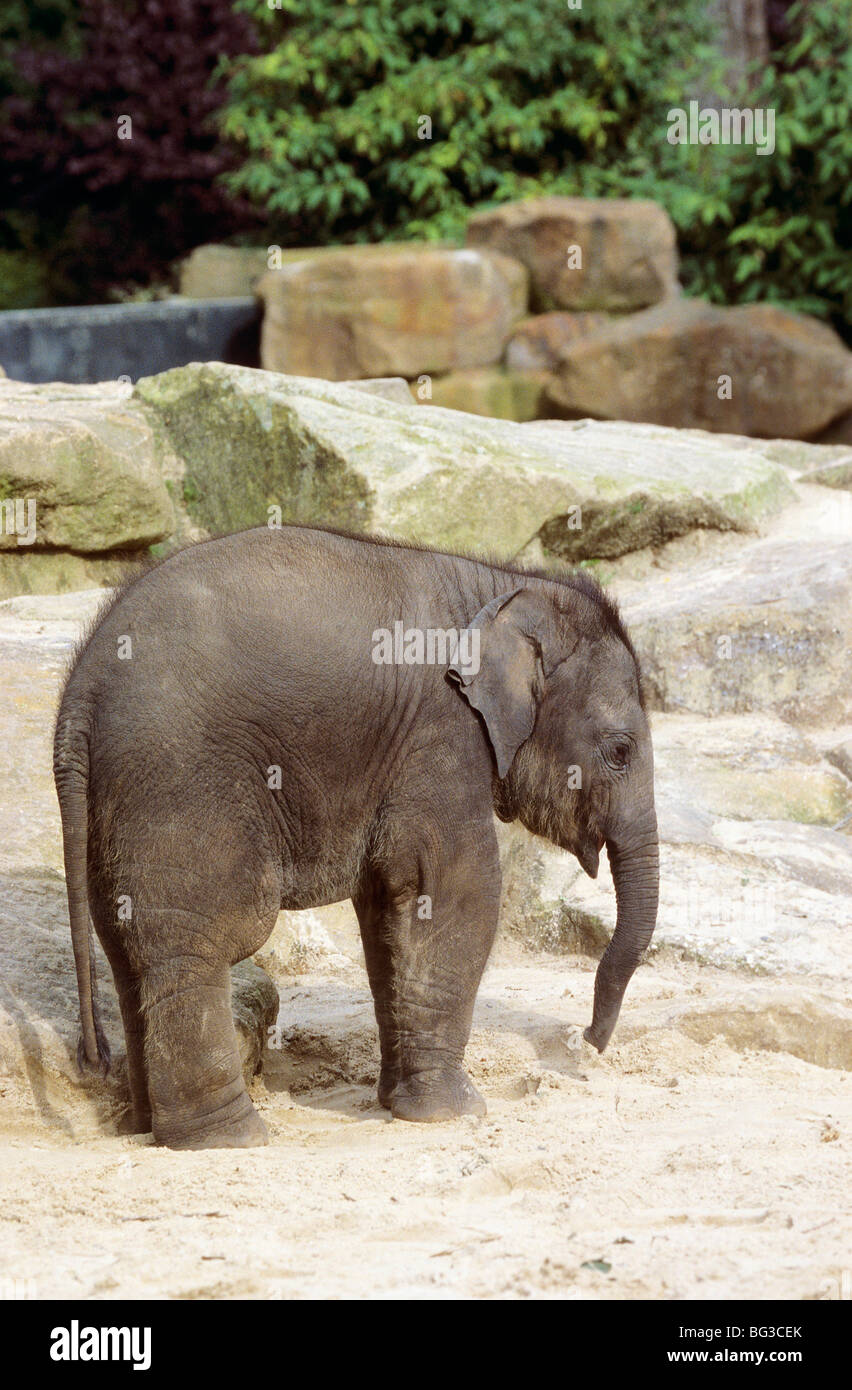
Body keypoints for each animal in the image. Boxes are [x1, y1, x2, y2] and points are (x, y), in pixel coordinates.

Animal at [53, 524, 659, 1149]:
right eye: (620, 751)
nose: (587, 1043)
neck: (501, 585)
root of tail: (78, 699)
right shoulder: (440, 735)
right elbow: (455, 889)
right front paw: (456, 1113)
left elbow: (387, 907)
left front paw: (398, 1103)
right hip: (178, 780)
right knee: (198, 939)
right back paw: (232, 1138)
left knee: (129, 951)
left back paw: (147, 1127)